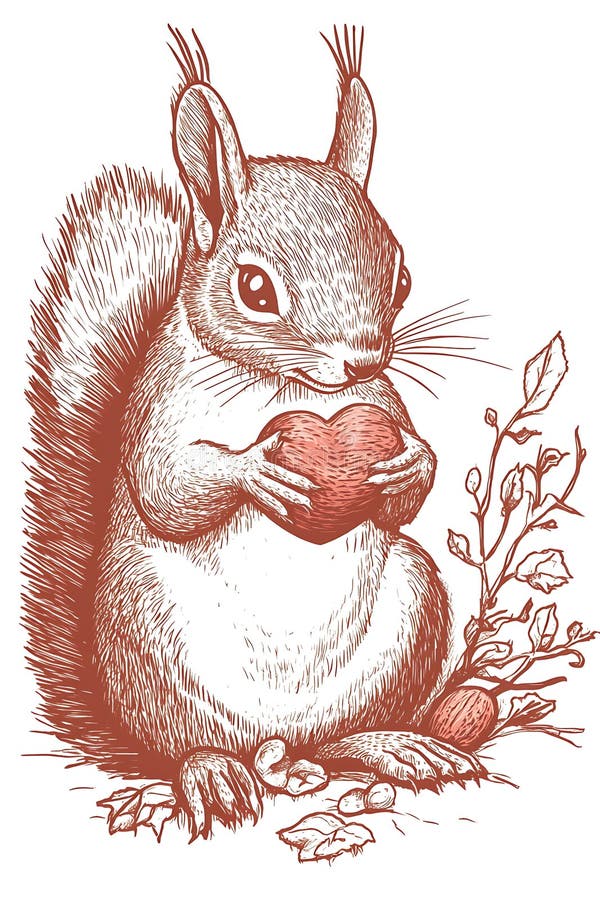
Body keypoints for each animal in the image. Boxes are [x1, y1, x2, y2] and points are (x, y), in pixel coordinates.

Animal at [23, 26, 485, 840]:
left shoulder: (384, 404)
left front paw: (409, 465)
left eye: (400, 274)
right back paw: (211, 774)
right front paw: (261, 472)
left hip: (411, 606)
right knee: (181, 746)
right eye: (255, 289)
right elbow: (166, 487)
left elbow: (404, 490)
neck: (286, 387)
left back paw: (393, 746)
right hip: (152, 644)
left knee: (337, 739)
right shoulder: (161, 403)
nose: (363, 358)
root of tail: (276, 742)